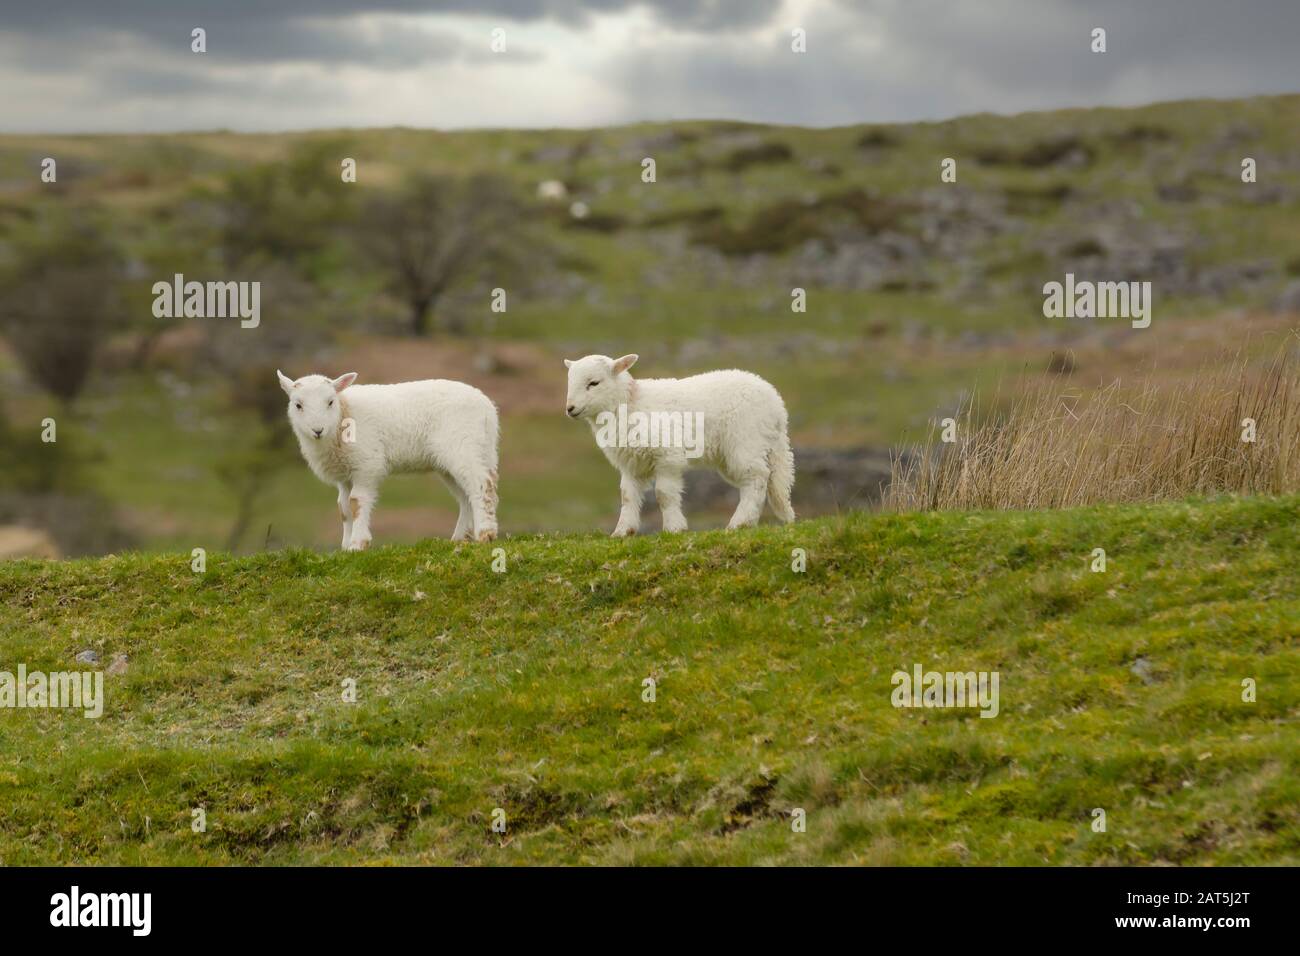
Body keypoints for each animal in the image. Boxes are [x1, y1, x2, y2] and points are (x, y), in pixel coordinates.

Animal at [276, 370, 499, 550]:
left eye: (330, 402)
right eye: (298, 405)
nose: (317, 430)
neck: (343, 416)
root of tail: (487, 407)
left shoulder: (366, 464)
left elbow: (356, 502)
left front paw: (358, 544)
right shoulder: (344, 474)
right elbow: (343, 508)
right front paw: (345, 546)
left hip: (463, 445)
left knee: (481, 484)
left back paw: (485, 533)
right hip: (460, 457)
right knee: (466, 495)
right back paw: (459, 538)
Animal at [563, 354, 795, 535]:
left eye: (594, 383)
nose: (570, 408)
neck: (629, 403)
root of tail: (777, 405)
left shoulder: (668, 456)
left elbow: (663, 494)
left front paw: (674, 528)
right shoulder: (631, 464)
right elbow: (627, 496)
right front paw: (622, 531)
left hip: (745, 441)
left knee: (757, 478)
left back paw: (738, 524)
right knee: (759, 480)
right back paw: (747, 523)